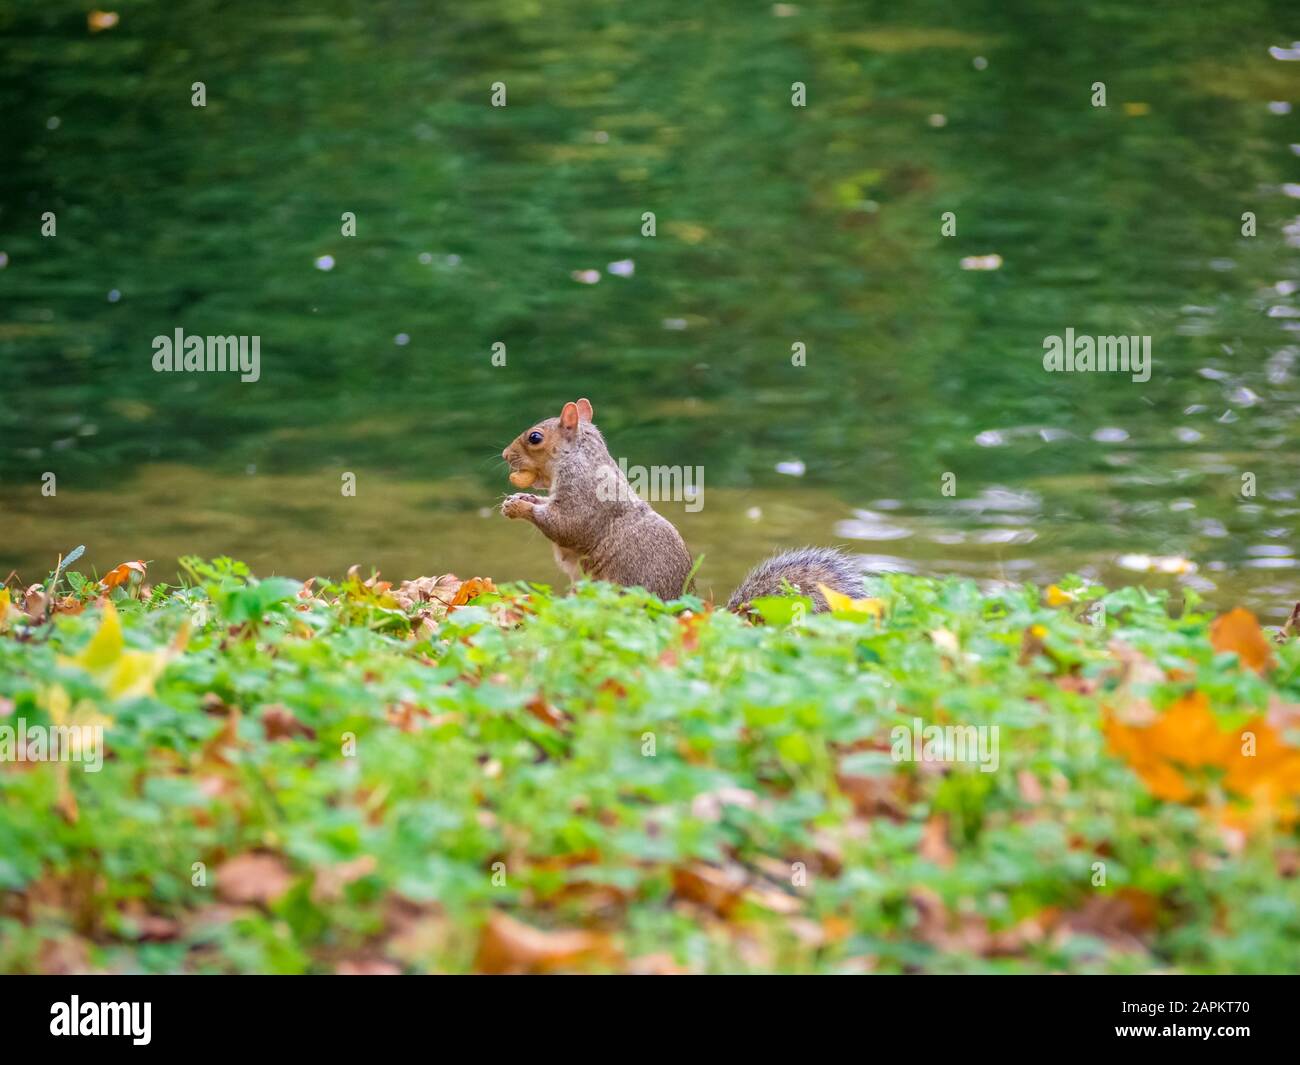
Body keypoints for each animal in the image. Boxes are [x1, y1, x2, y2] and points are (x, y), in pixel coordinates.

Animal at [499, 398, 863, 612]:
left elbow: (564, 526)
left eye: (535, 437)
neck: (577, 458)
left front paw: (521, 508)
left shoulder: (583, 500)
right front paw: (522, 499)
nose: (504, 455)